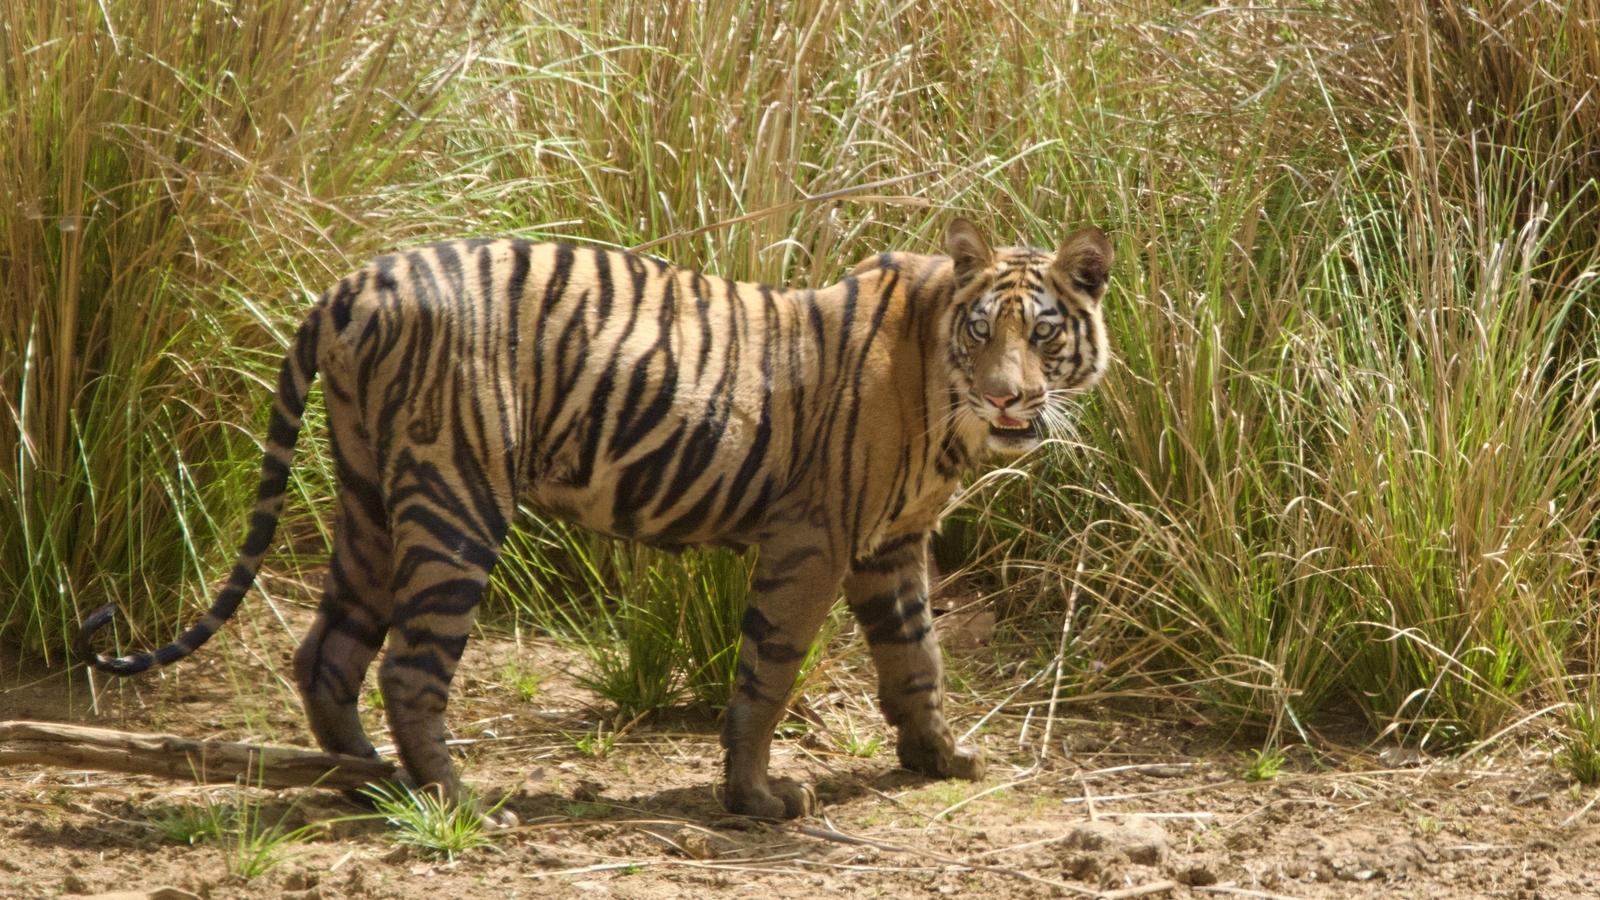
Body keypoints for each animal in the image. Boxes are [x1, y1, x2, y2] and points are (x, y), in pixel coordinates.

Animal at [79, 217, 1112, 820]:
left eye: (1043, 334)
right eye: (983, 332)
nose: (1011, 399)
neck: (944, 408)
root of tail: (351, 283)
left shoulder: (892, 547)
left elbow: (917, 661)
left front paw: (941, 757)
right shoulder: (815, 541)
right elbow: (770, 674)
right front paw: (756, 797)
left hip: (365, 493)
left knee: (328, 651)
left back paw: (369, 784)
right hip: (456, 496)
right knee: (410, 666)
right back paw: (459, 805)